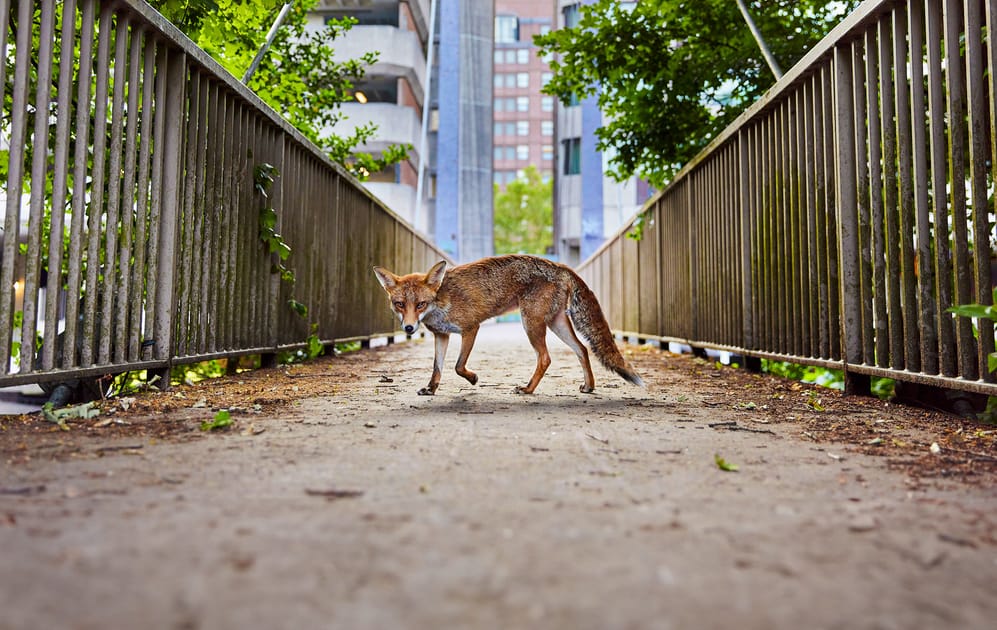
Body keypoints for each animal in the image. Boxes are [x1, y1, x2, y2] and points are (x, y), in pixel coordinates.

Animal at [372, 254, 644, 395]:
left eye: (420, 304)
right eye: (399, 304)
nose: (409, 328)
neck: (441, 302)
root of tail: (559, 265)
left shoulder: (471, 328)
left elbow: (458, 366)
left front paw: (473, 379)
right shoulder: (442, 335)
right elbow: (437, 368)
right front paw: (431, 389)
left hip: (531, 323)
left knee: (545, 358)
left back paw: (528, 389)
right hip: (556, 324)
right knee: (583, 349)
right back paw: (588, 386)